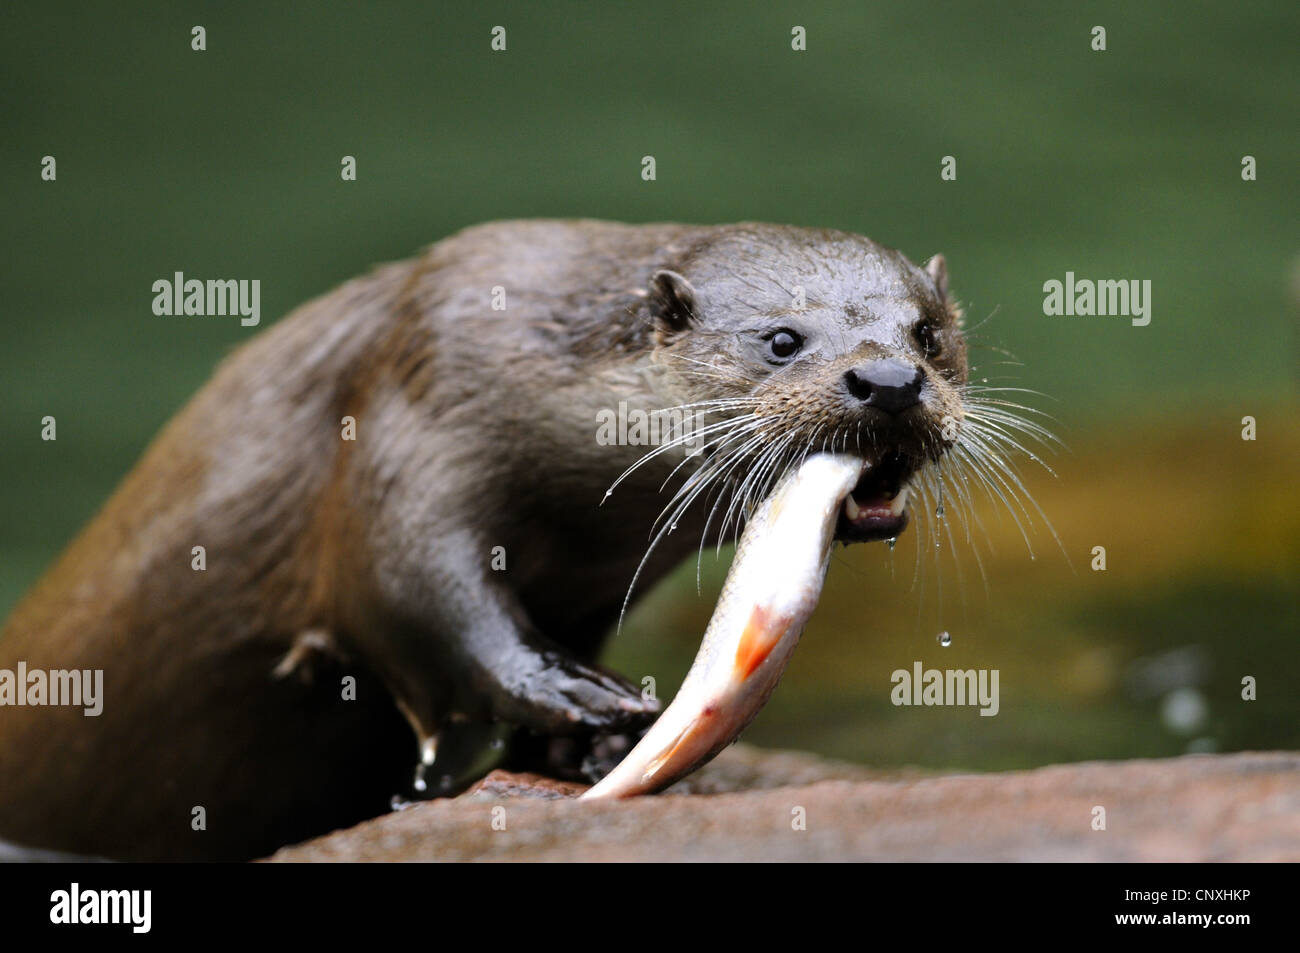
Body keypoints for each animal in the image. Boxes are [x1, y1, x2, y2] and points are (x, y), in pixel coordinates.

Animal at [0, 220, 968, 860]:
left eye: (929, 333)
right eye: (780, 340)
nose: (889, 379)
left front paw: (594, 747)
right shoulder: (413, 411)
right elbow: (408, 591)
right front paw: (577, 694)